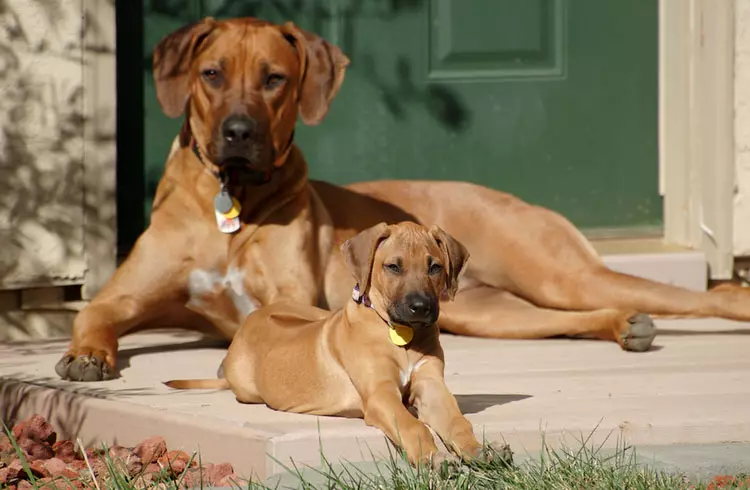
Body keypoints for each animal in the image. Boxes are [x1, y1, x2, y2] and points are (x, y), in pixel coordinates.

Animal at [57, 16, 750, 382]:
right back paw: (623, 326)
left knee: (706, 294)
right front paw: (86, 356)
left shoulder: (293, 299)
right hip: (490, 312)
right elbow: (93, 314)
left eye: (274, 79)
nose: (239, 133)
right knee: (567, 318)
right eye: (212, 75)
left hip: (559, 271)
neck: (234, 200)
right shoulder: (123, 296)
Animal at [164, 222, 512, 468]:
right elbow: (411, 425)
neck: (401, 334)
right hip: (249, 389)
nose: (421, 307)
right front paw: (434, 457)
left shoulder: (432, 386)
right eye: (393, 266)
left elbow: (456, 420)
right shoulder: (380, 395)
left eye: (435, 267)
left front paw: (478, 449)